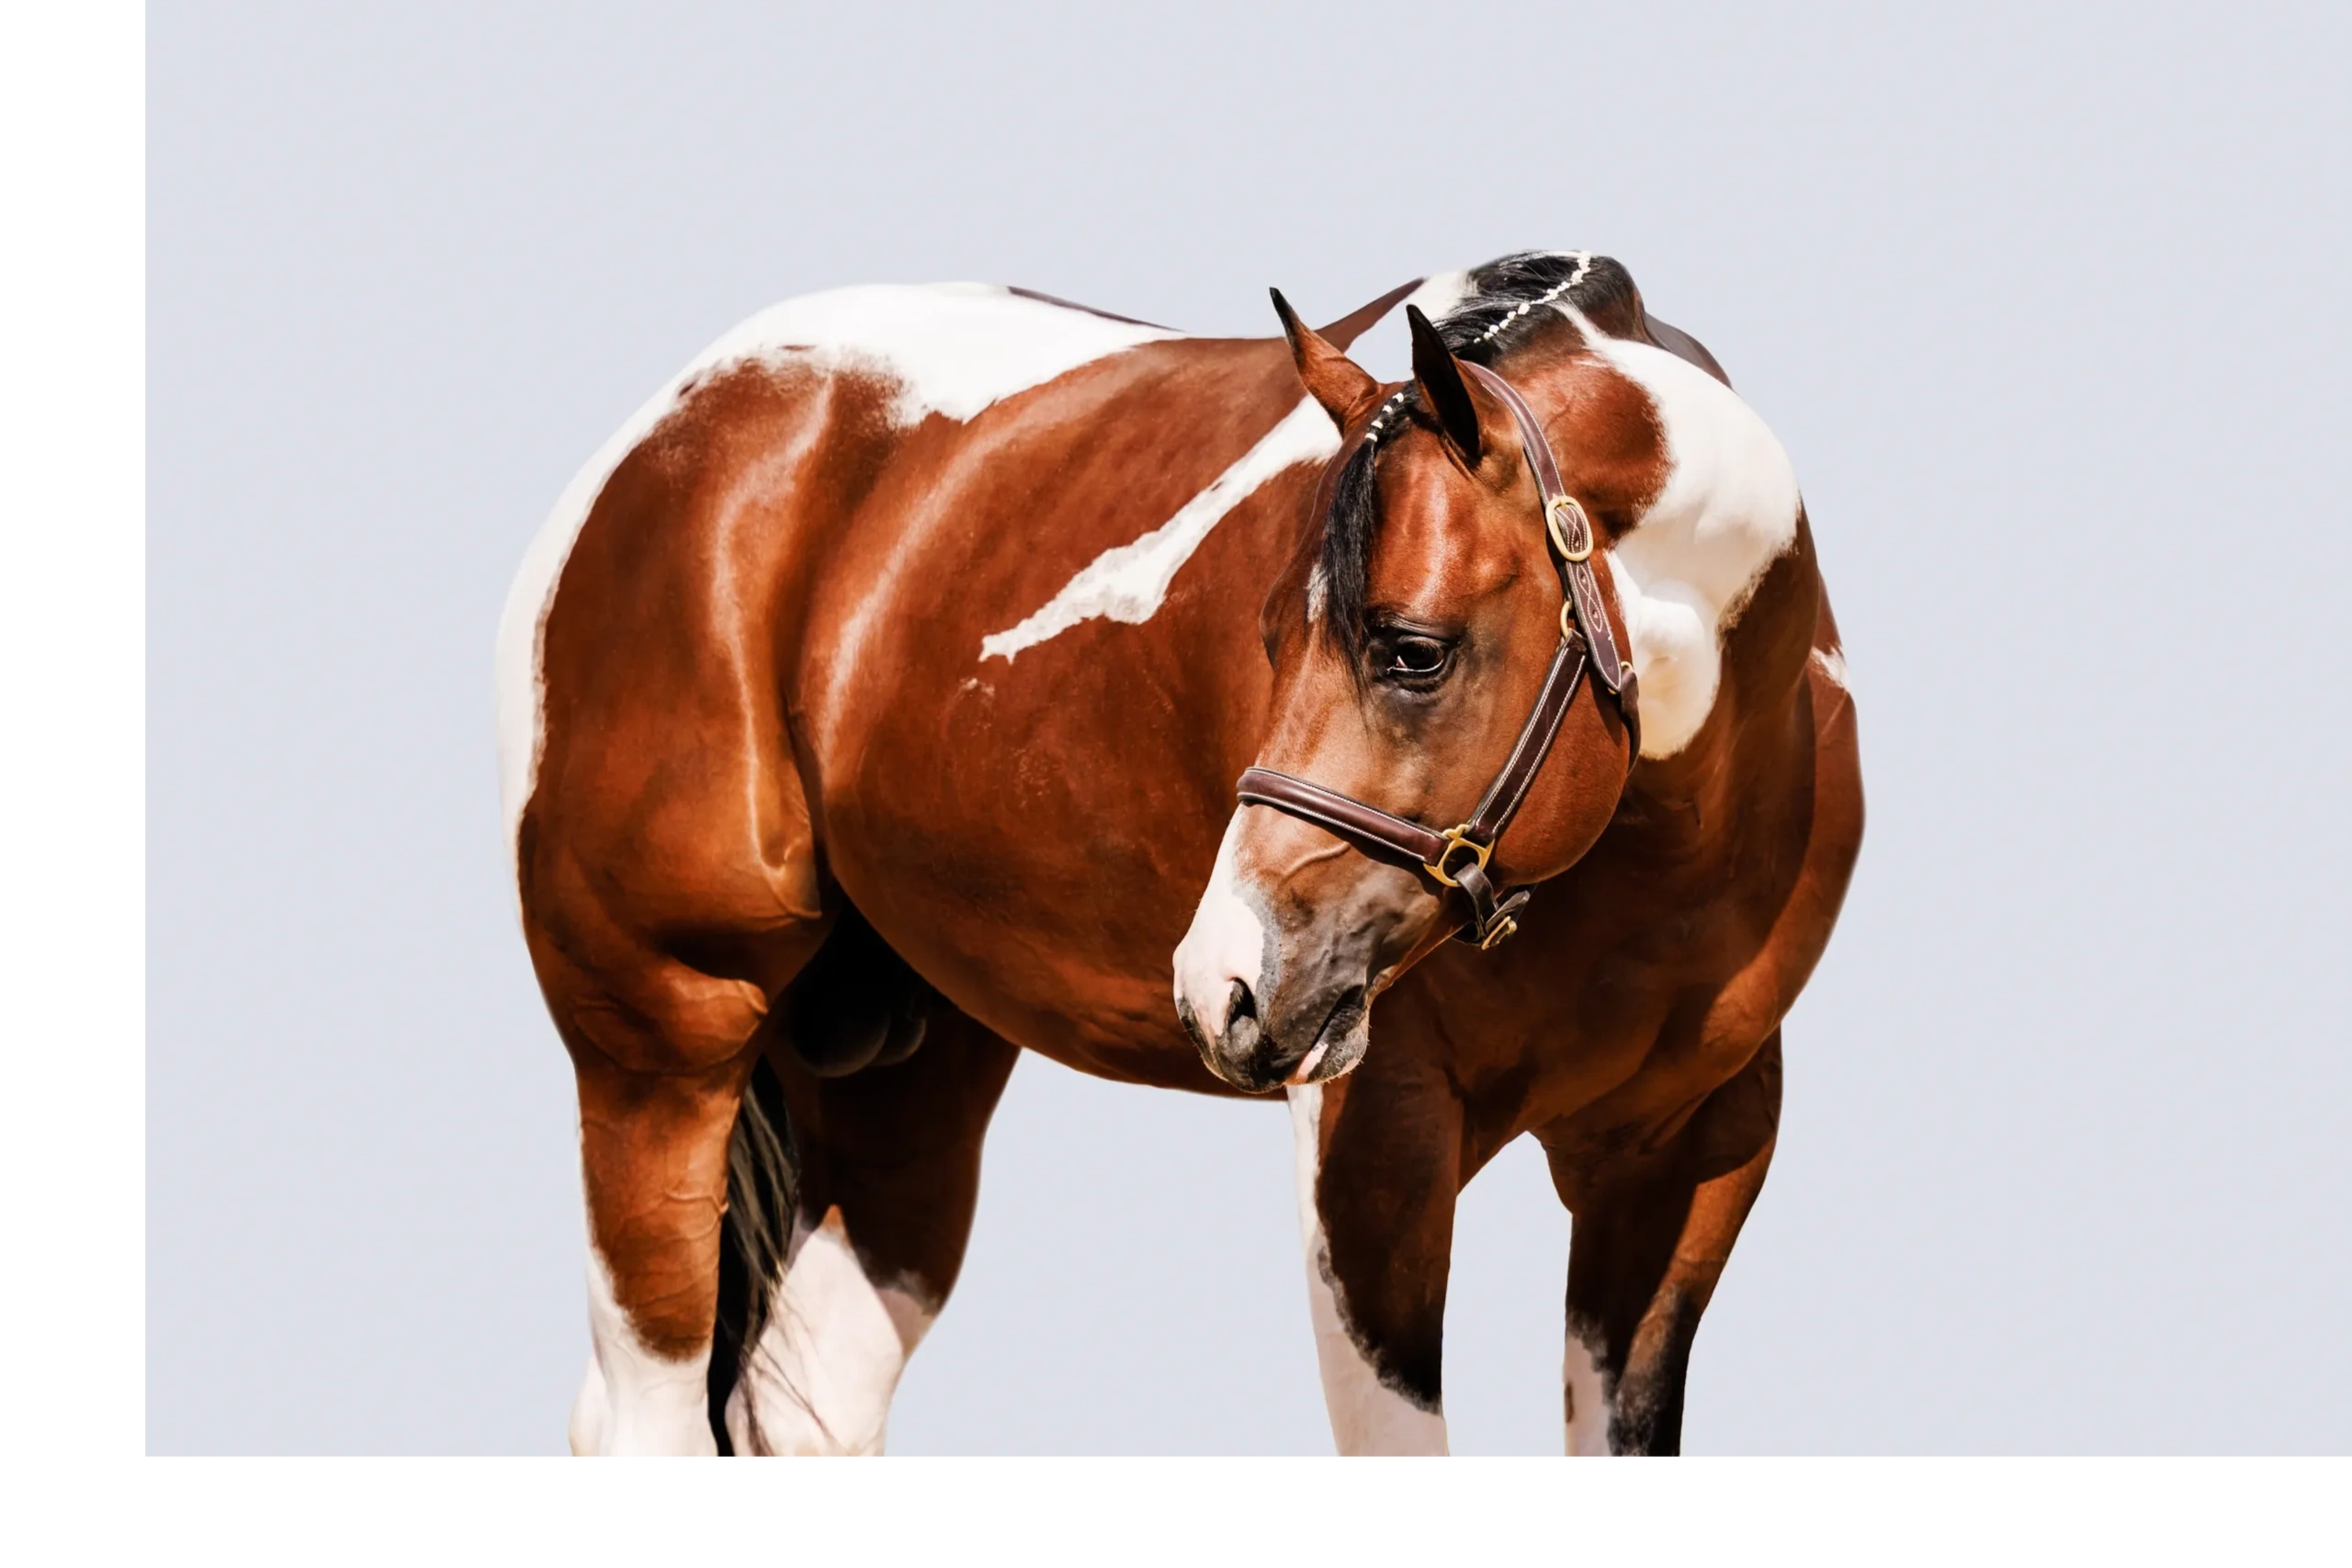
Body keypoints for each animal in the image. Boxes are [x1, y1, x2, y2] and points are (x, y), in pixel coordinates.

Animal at [498, 250, 1861, 1459]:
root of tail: (670, 434)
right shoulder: (1375, 1158)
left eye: (1412, 649)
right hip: (662, 1049)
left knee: (818, 1395)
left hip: (904, 1075)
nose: (1226, 985)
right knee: (645, 1412)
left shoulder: (1684, 1165)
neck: (1666, 857)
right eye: (1266, 633)